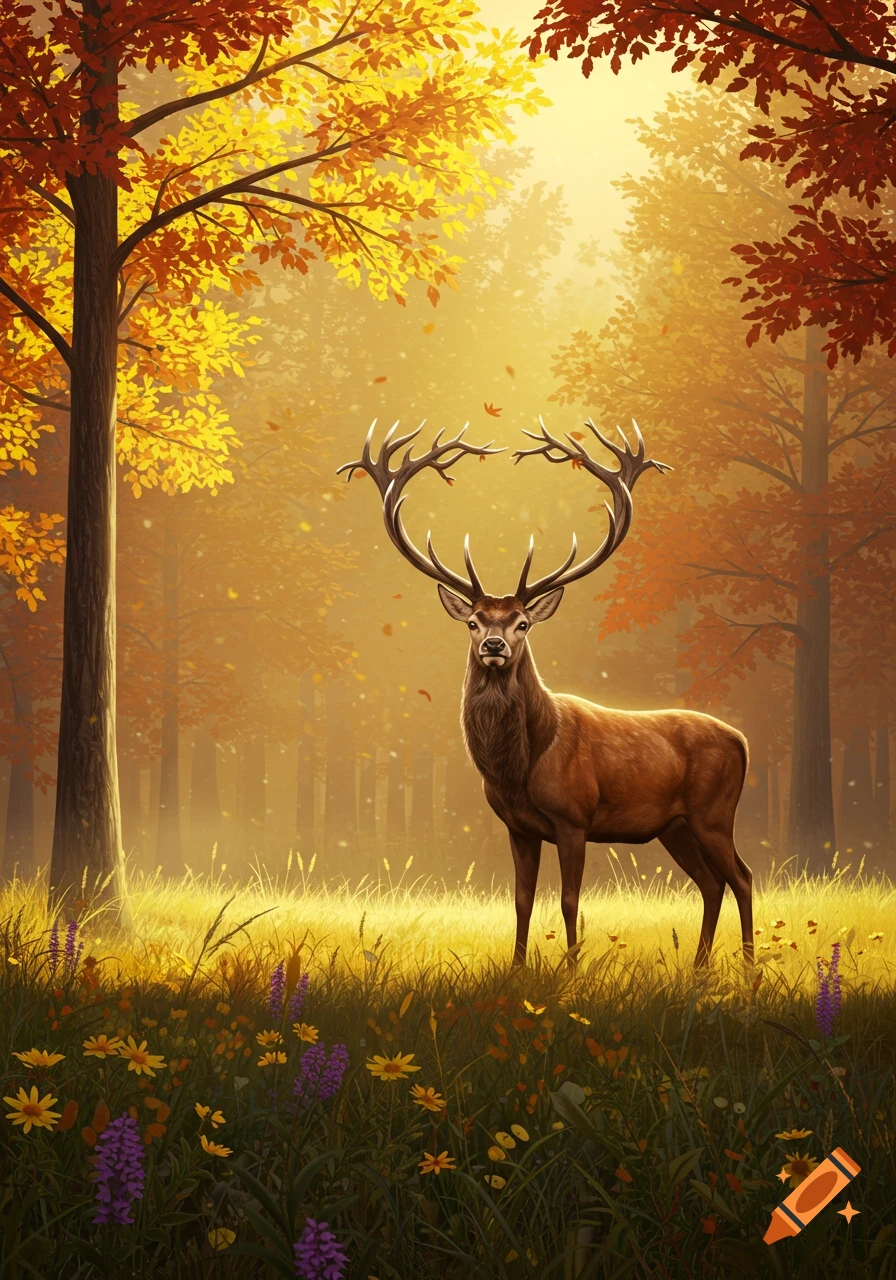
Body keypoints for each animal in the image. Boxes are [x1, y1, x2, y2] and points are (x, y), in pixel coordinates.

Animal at [338, 418, 754, 970]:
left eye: (522, 623)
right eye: (473, 621)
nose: (493, 645)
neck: (518, 770)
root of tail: (743, 741)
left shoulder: (573, 817)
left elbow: (570, 899)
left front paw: (573, 970)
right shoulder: (518, 825)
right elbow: (521, 899)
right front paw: (517, 969)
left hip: (714, 813)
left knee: (742, 878)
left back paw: (748, 966)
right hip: (675, 825)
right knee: (711, 883)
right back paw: (700, 966)